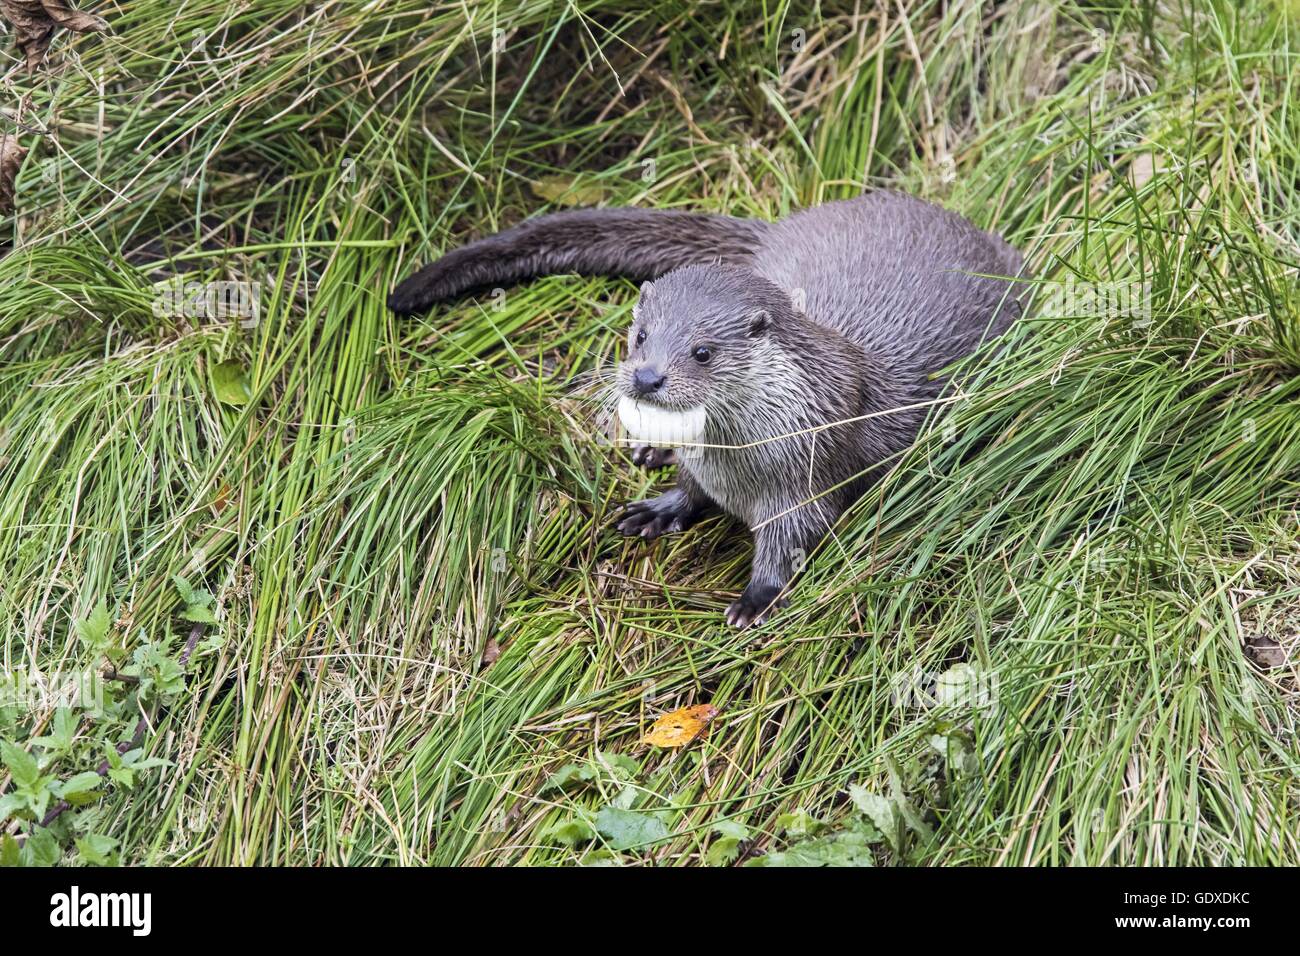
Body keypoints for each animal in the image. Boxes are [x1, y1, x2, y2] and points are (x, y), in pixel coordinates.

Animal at [390, 191, 1023, 627]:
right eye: (640, 336)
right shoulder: (709, 468)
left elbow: (793, 540)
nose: (647, 377)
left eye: (702, 351)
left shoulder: (808, 477)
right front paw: (658, 510)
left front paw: (756, 599)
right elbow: (690, 490)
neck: (738, 471)